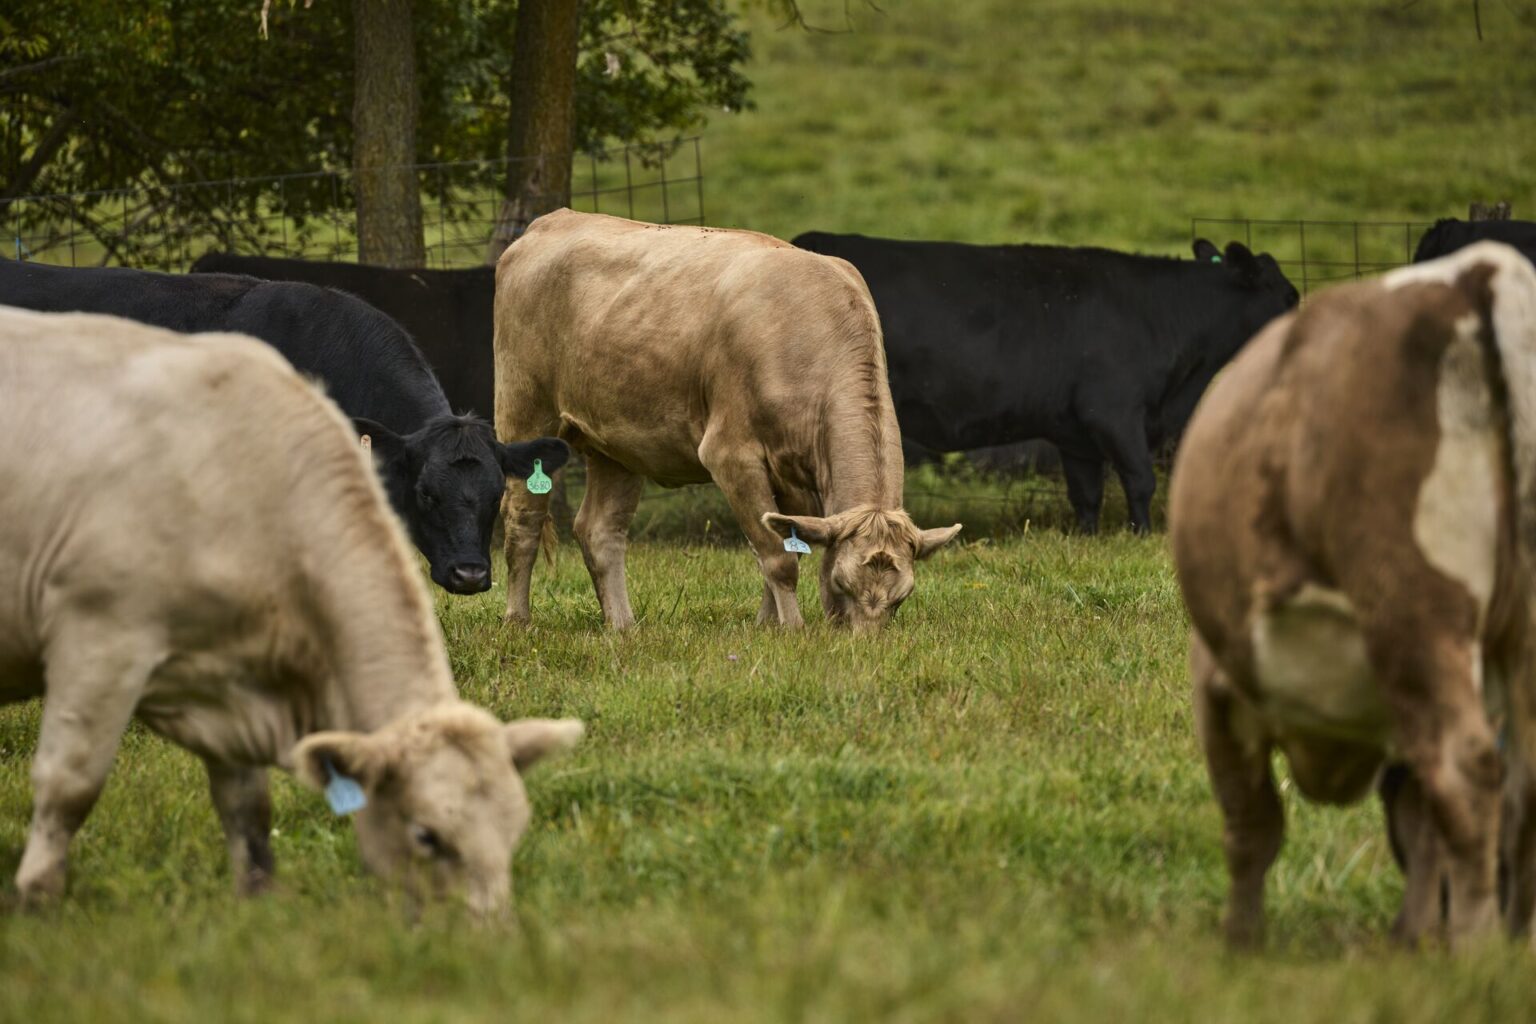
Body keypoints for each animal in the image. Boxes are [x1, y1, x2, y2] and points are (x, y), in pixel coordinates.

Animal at [494, 209, 962, 632]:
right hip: (525, 415)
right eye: (841, 582)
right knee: (523, 521)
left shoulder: (795, 473)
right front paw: (794, 630)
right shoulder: (731, 454)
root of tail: (553, 220)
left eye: (901, 598)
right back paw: (518, 619)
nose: (863, 643)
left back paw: (623, 626)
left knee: (599, 531)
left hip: (618, 442)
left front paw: (767, 626)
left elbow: (782, 545)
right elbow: (778, 557)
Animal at [790, 231, 1300, 534]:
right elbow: (1140, 479)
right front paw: (1143, 533)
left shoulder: (1075, 432)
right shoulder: (1116, 413)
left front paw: (1089, 537)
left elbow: (1086, 492)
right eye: (1289, 296)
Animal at [1168, 242, 1536, 949]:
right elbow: (1421, 826)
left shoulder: (1218, 680)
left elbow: (1250, 825)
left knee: (1468, 771)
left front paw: (1240, 942)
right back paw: (1513, 939)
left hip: (1416, 611)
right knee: (1519, 790)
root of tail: (1473, 272)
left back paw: (1476, 948)